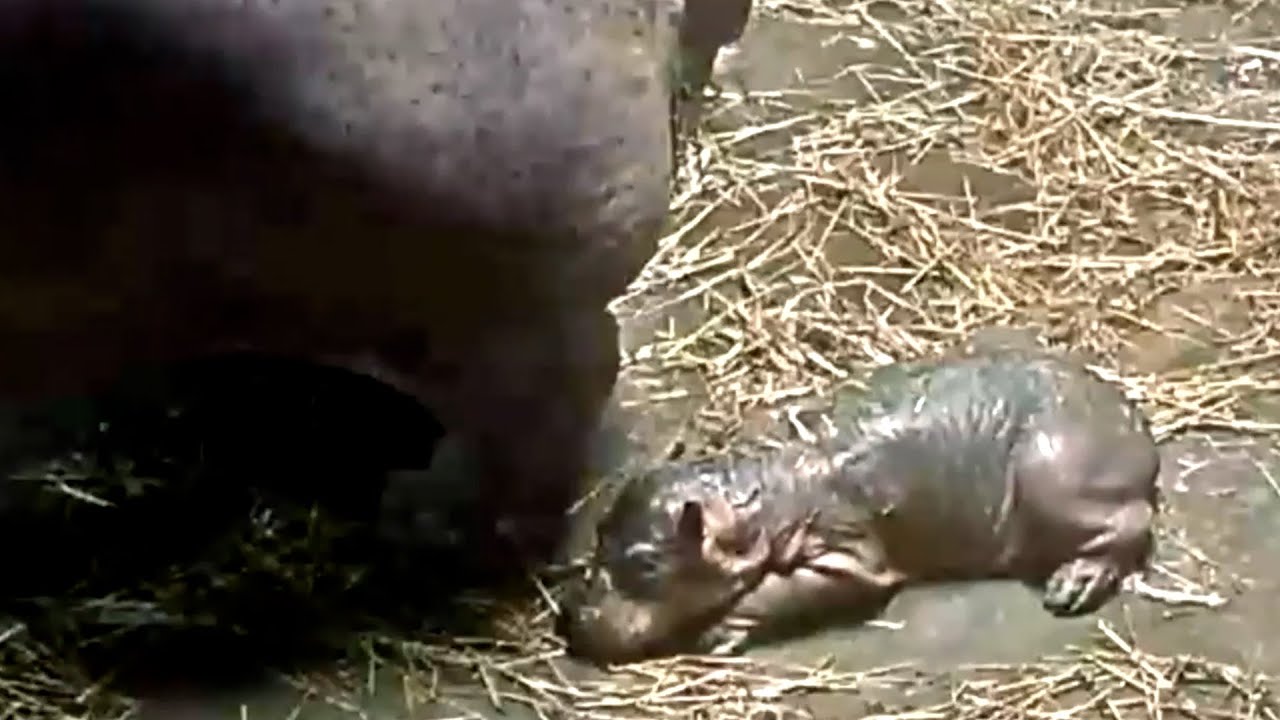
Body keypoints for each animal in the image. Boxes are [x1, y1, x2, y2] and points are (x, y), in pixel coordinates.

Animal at [557, 344, 1161, 664]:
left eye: (646, 564)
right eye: (600, 534)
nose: (571, 616)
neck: (754, 495)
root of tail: (1140, 433)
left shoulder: (847, 552)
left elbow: (783, 588)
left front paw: (716, 635)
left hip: (1052, 473)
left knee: (1131, 519)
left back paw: (1073, 584)